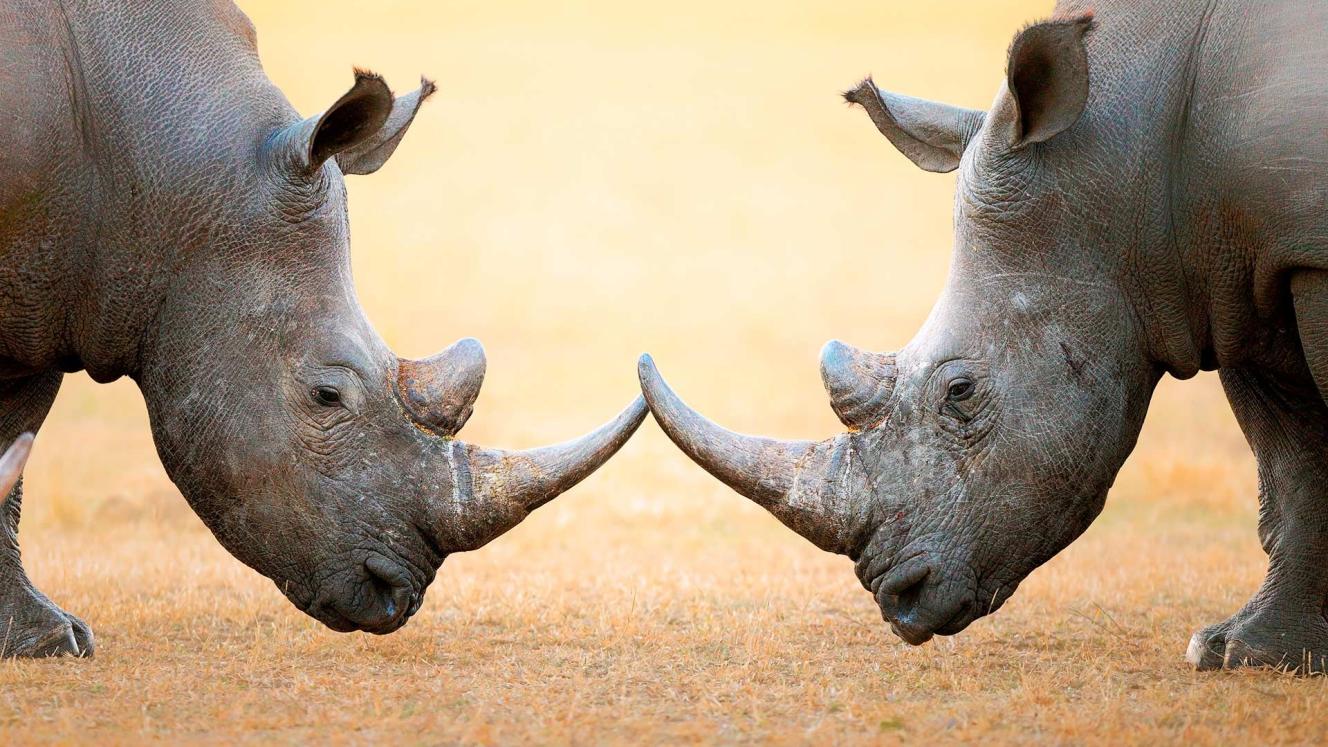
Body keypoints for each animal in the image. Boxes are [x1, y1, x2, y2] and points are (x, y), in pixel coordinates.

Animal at [0, 0, 645, 658]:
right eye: (326, 395)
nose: (395, 595)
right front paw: (50, 642)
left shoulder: (47, 300)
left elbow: (15, 444)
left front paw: (43, 641)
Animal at [640, 1, 1328, 672]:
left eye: (961, 391)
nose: (898, 598)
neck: (1128, 158)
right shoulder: (1230, 276)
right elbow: (1294, 463)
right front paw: (1245, 653)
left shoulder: (1298, 259)